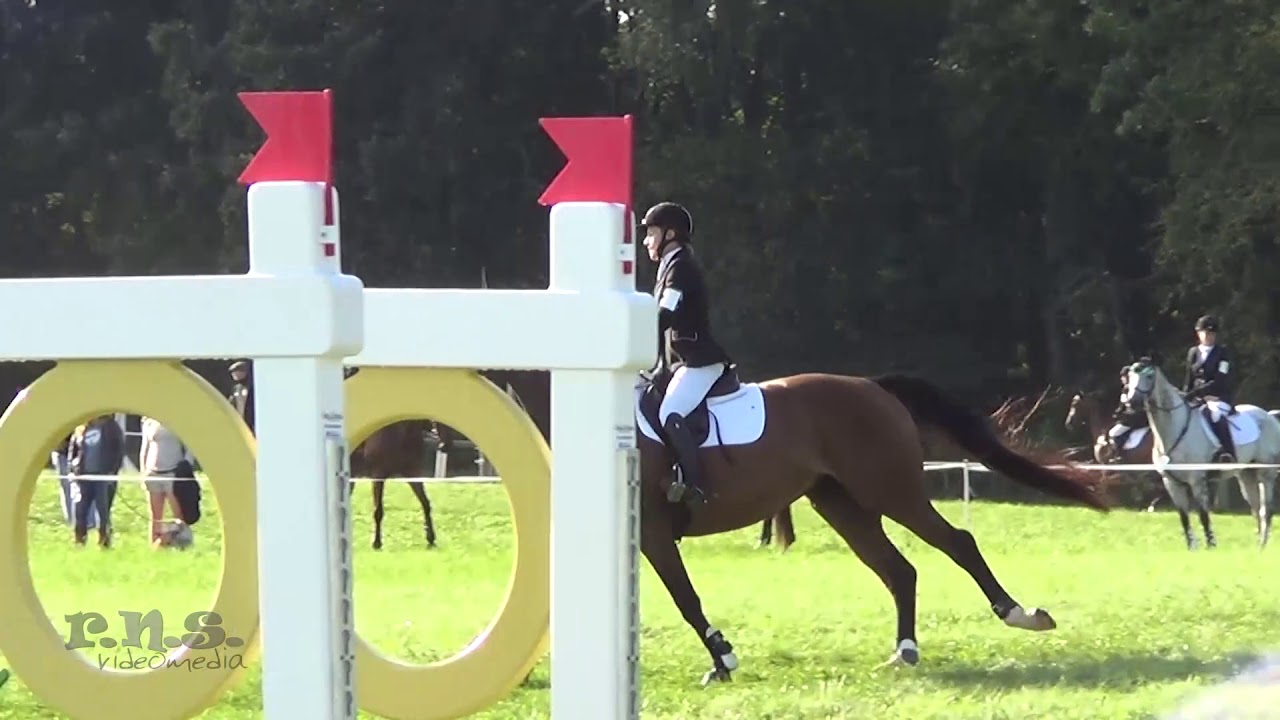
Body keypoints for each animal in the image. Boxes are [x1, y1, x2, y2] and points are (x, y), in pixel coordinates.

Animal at [634, 369, 1109, 683]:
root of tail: (872, 385)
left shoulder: (653, 534)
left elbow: (685, 599)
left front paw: (722, 660)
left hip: (891, 492)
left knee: (958, 543)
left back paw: (1019, 615)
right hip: (843, 505)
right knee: (899, 570)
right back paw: (905, 651)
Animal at [1124, 358, 1277, 549]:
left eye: (1149, 376)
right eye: (1130, 377)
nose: (1131, 403)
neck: (1173, 429)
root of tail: (1269, 416)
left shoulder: (1196, 480)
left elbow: (1204, 515)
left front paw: (1211, 546)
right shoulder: (1172, 483)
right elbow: (1184, 518)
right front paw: (1192, 548)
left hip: (1266, 474)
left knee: (1265, 510)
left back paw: (1262, 546)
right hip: (1246, 474)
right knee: (1255, 508)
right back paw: (1257, 547)